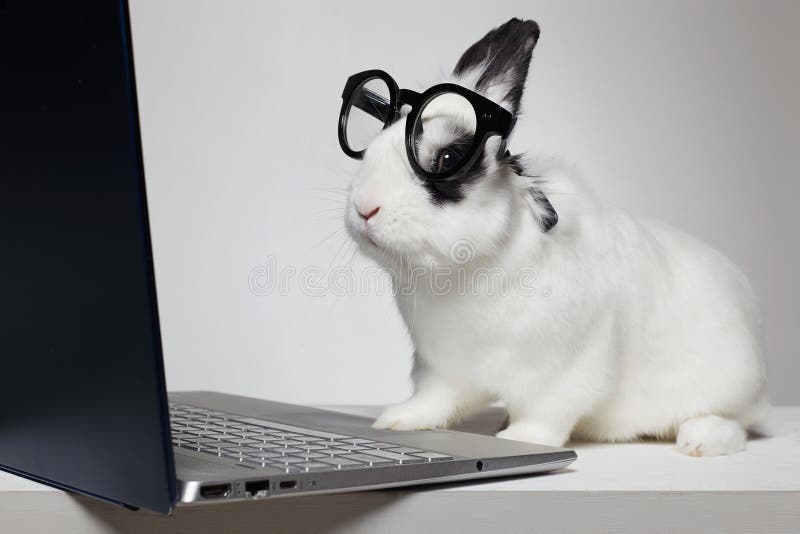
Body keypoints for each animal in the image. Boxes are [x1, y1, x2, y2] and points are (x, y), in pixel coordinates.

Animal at [343, 18, 768, 456]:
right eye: (371, 146)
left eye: (446, 159)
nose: (364, 208)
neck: (468, 270)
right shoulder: (443, 367)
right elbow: (434, 400)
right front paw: (396, 420)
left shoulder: (564, 368)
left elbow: (546, 411)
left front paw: (520, 440)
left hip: (724, 385)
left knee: (733, 423)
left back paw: (698, 441)